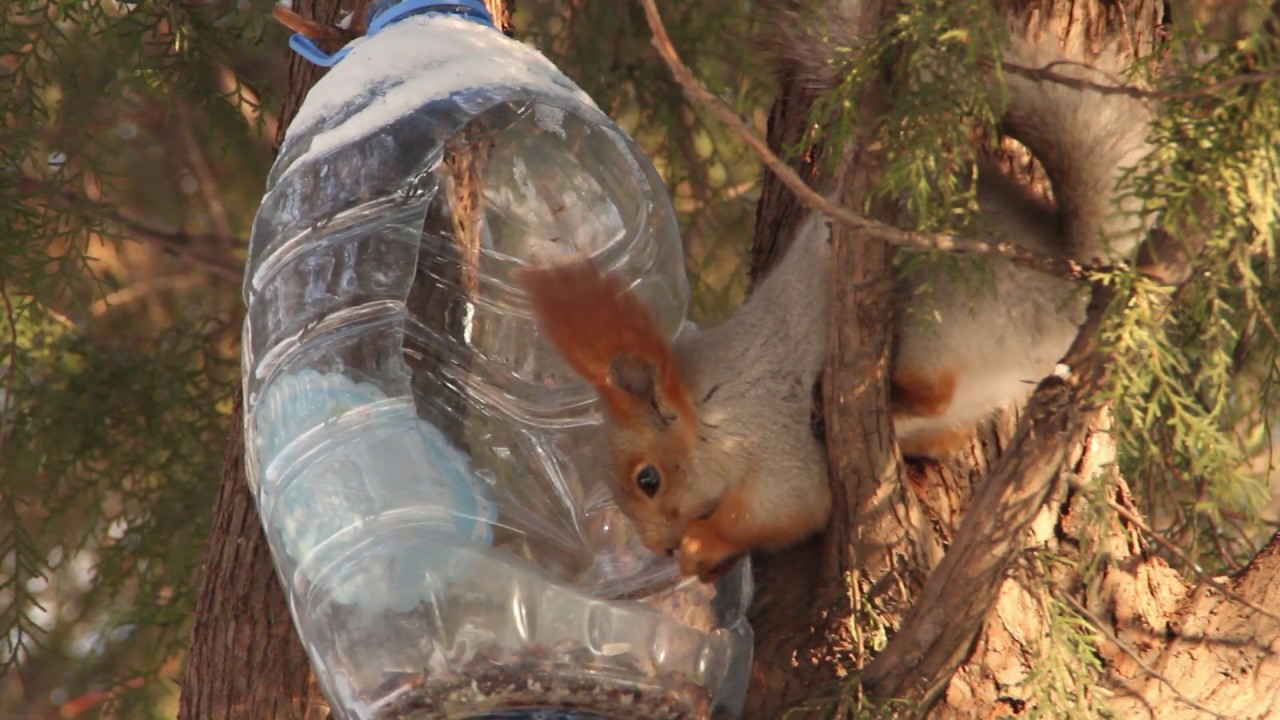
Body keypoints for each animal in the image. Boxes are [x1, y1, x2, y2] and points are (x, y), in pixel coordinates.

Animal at [519, 11, 1154, 582]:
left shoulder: (772, 441)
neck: (714, 405)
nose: (660, 548)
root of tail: (1070, 279)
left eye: (648, 480)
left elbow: (782, 511)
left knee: (931, 390)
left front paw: (706, 545)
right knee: (949, 430)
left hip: (944, 318)